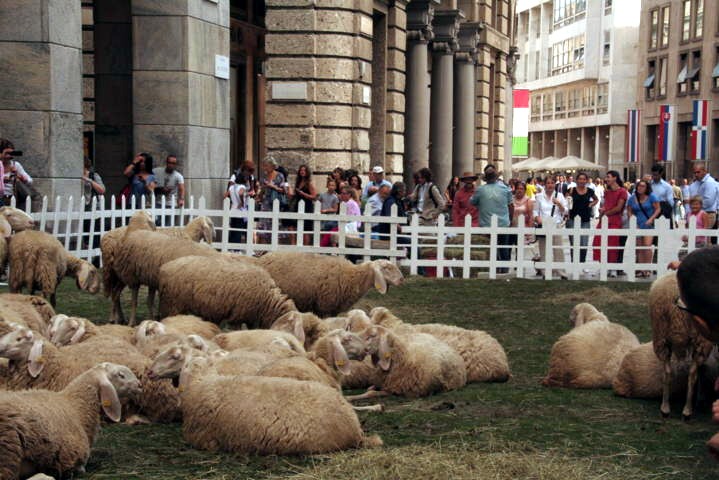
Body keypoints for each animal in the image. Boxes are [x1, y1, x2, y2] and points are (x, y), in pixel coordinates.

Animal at [0, 362, 140, 480]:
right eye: (120, 375)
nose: (140, 385)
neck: (76, 406)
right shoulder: (76, 462)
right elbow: (79, 469)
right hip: (8, 454)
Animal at [255, 252, 404, 317]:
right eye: (387, 268)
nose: (402, 279)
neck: (353, 277)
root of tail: (262, 258)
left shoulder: (333, 310)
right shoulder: (325, 307)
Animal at [650, 272, 716, 420]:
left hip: (662, 335)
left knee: (668, 372)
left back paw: (666, 408)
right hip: (700, 340)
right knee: (692, 374)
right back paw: (687, 410)